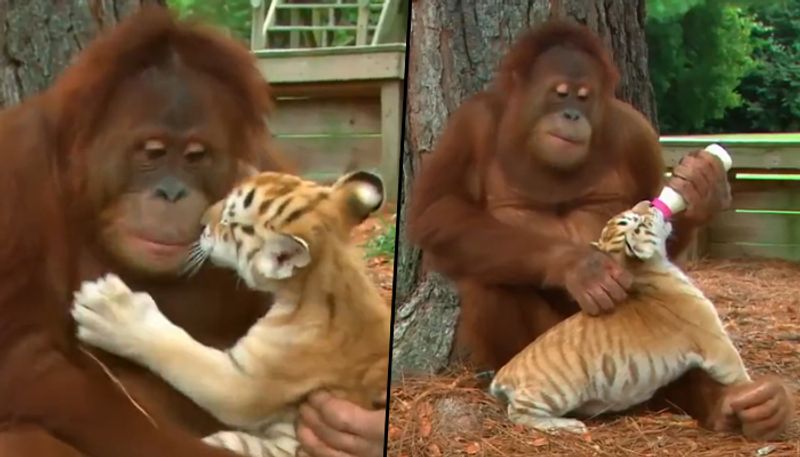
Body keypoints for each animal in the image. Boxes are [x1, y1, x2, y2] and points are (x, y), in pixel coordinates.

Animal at [488, 200, 750, 434]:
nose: (650, 203)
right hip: (553, 392)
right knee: (518, 413)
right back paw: (568, 426)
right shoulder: (717, 345)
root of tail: (504, 372)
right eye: (635, 220)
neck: (645, 270)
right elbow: (740, 375)